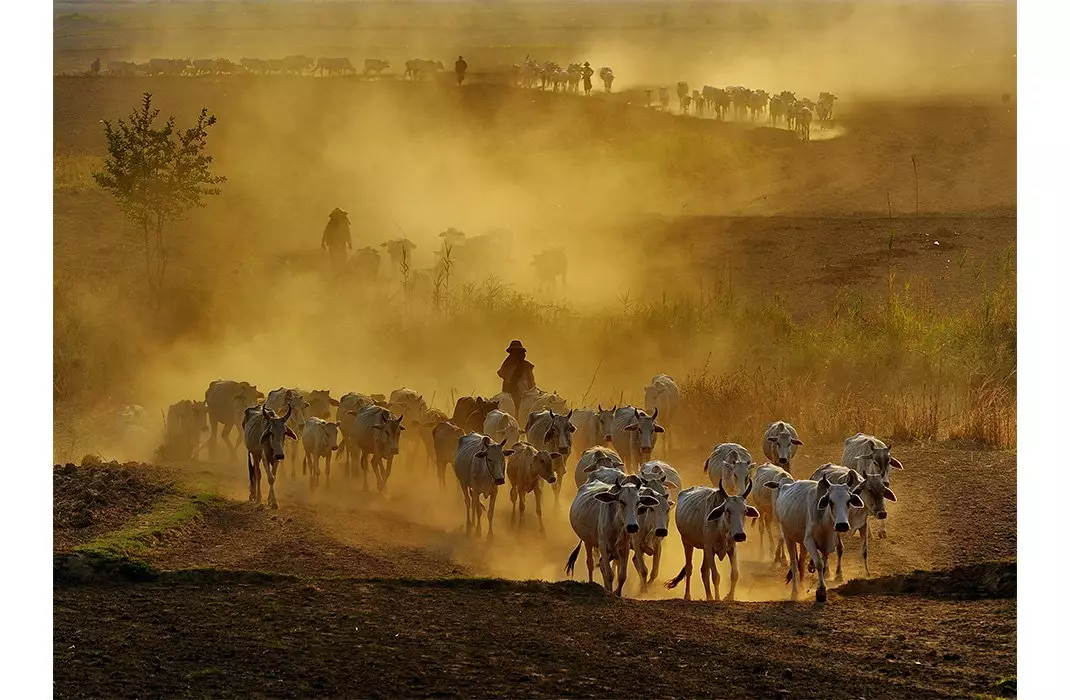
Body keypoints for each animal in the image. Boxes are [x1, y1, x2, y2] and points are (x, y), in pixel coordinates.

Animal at [770, 470, 868, 603]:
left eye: (848, 501)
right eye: (830, 501)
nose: (842, 525)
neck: (824, 520)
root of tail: (784, 487)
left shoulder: (828, 544)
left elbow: (824, 562)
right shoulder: (809, 540)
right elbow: (819, 564)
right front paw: (821, 592)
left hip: (802, 543)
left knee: (801, 562)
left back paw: (802, 588)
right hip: (788, 536)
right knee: (794, 563)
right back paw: (795, 592)